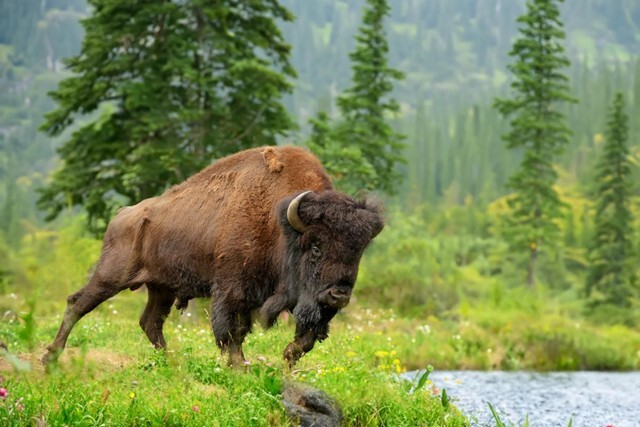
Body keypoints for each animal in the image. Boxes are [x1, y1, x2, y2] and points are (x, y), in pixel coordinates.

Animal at [42, 146, 383, 367]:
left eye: (358, 251)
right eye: (315, 246)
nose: (339, 295)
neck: (279, 222)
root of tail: (123, 214)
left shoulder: (306, 303)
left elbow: (305, 338)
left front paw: (286, 357)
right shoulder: (232, 290)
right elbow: (232, 331)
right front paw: (239, 366)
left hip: (161, 288)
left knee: (150, 322)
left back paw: (171, 362)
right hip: (111, 275)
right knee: (78, 303)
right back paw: (50, 356)